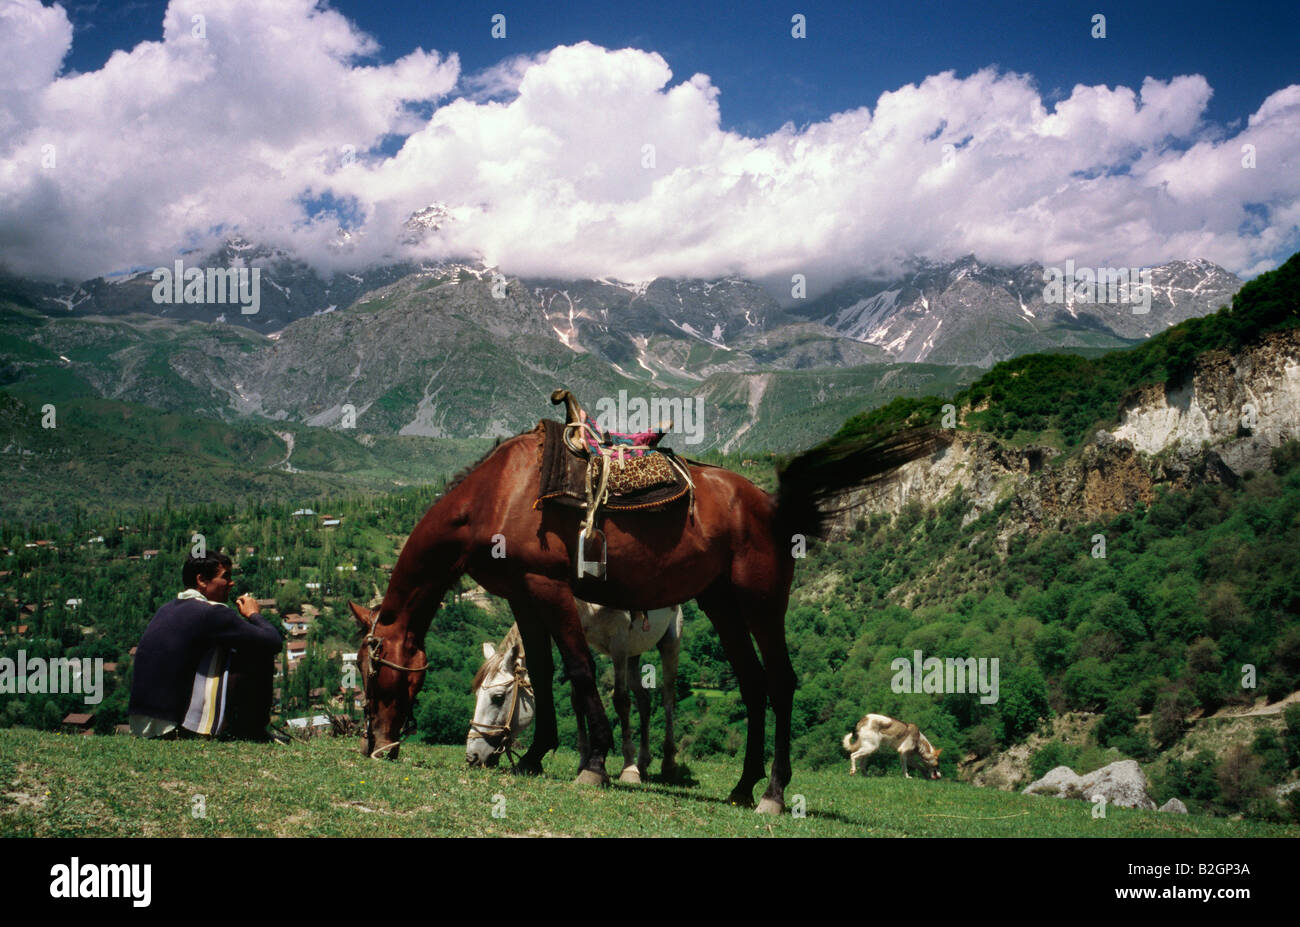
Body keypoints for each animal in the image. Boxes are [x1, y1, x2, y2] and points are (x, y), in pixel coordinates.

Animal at [466, 602, 683, 783]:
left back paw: (668, 763)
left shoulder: (619, 642)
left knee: (668, 698)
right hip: (634, 654)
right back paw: (643, 764)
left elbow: (621, 701)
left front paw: (628, 768)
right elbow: (578, 700)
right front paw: (583, 762)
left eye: (498, 697)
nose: (471, 756)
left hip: (669, 643)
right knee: (644, 700)